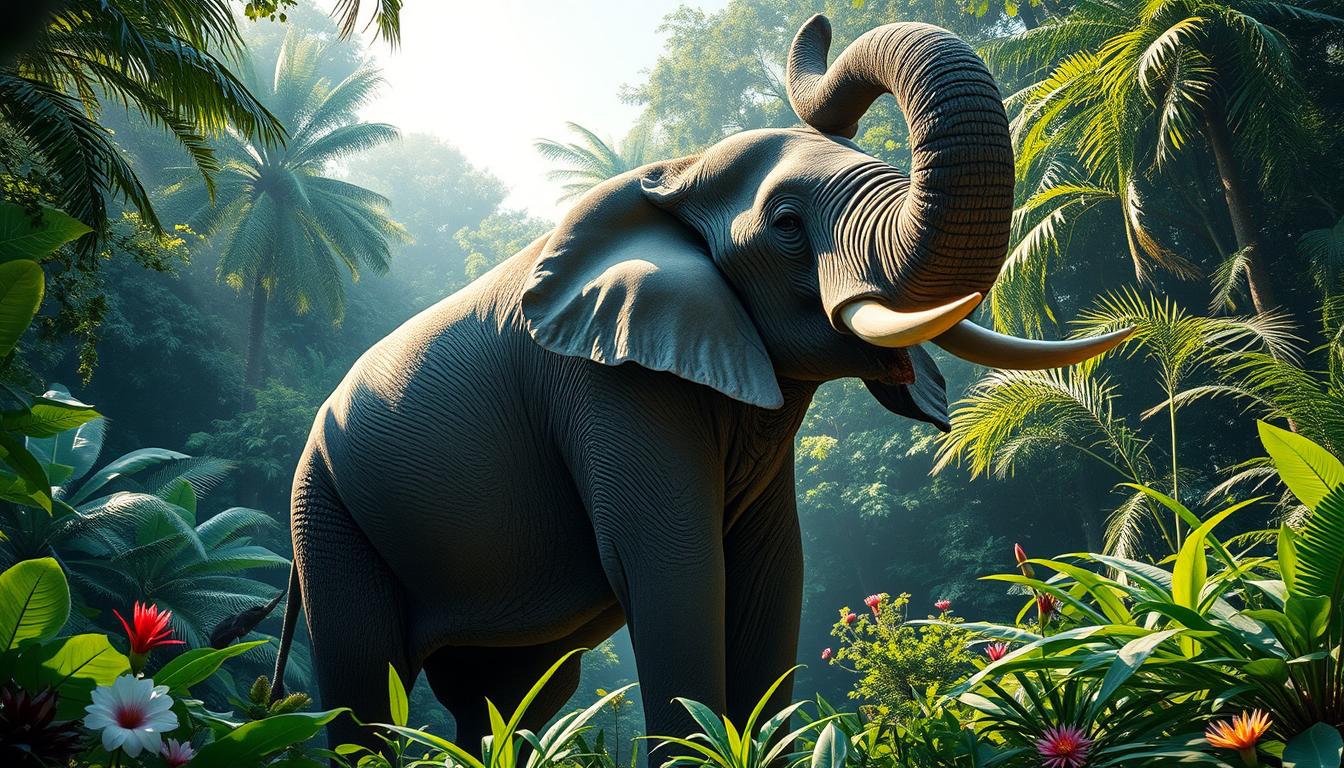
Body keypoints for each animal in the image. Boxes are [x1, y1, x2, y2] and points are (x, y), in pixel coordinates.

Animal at [270, 14, 1131, 749]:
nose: (821, 26)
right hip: (326, 508)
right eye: (787, 224)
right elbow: (676, 570)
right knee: (364, 686)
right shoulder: (608, 387)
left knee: (513, 694)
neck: (671, 174)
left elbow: (772, 577)